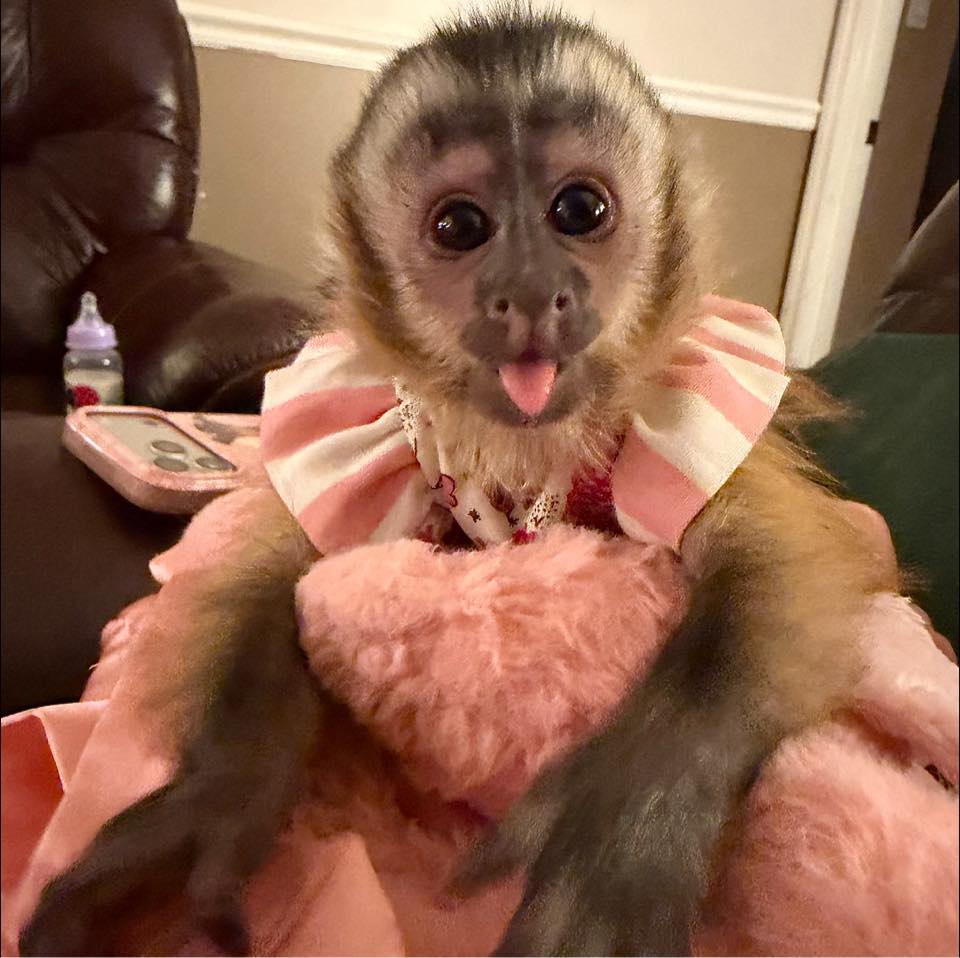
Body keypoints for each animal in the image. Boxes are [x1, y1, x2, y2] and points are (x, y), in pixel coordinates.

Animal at [19, 8, 898, 957]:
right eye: (460, 226)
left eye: (579, 209)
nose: (532, 289)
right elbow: (282, 575)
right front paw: (212, 800)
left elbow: (794, 566)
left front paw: (626, 816)